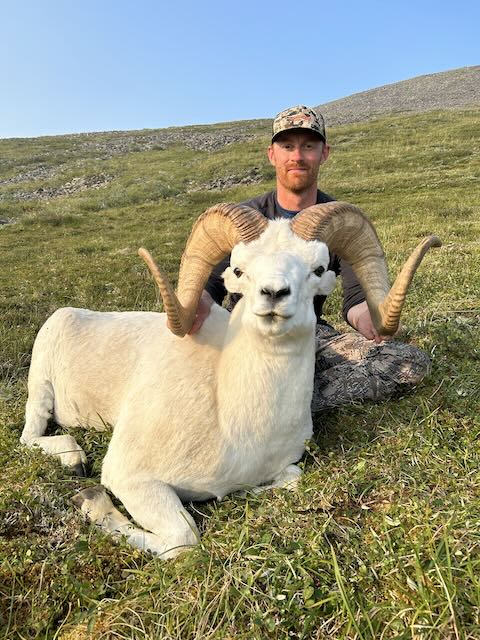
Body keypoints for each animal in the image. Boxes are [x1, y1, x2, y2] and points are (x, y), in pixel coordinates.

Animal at [20, 202, 441, 558]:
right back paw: (73, 459)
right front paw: (90, 503)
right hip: (40, 391)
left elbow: (291, 478)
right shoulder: (131, 478)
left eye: (318, 269)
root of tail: (69, 314)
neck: (234, 417)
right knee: (31, 437)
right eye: (239, 270)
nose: (274, 293)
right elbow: (183, 540)